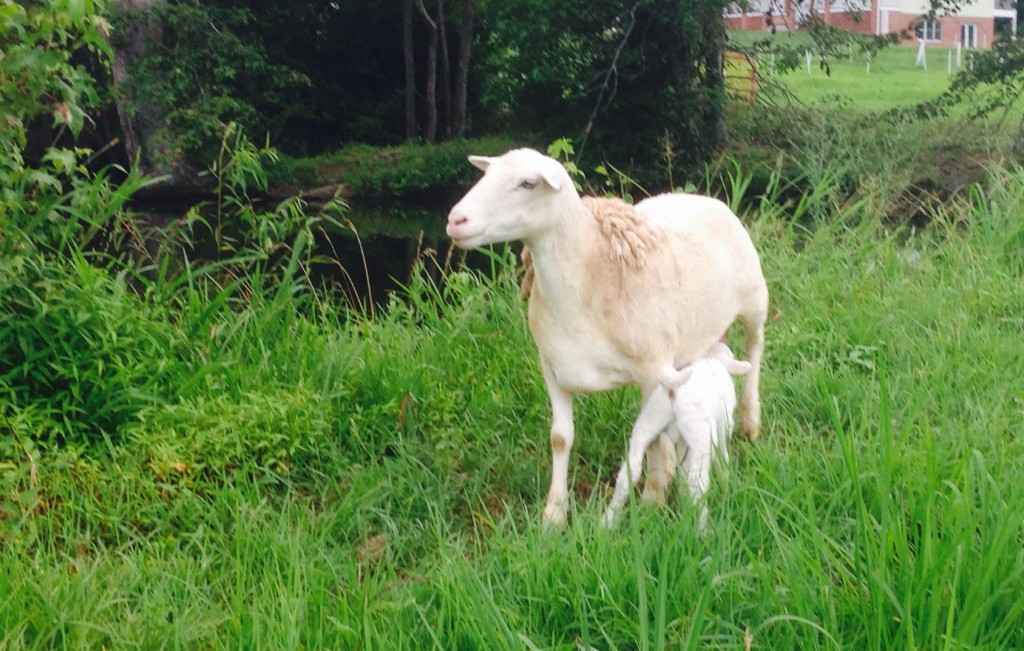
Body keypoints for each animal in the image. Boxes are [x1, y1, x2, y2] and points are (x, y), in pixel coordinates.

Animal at [601, 342, 752, 531]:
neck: (711, 359)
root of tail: (674, 387)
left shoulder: (684, 441)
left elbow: (683, 467)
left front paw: (682, 496)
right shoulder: (723, 423)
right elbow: (722, 454)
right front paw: (726, 480)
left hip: (648, 421)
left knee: (629, 473)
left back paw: (608, 522)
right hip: (700, 433)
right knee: (697, 482)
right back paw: (703, 529)